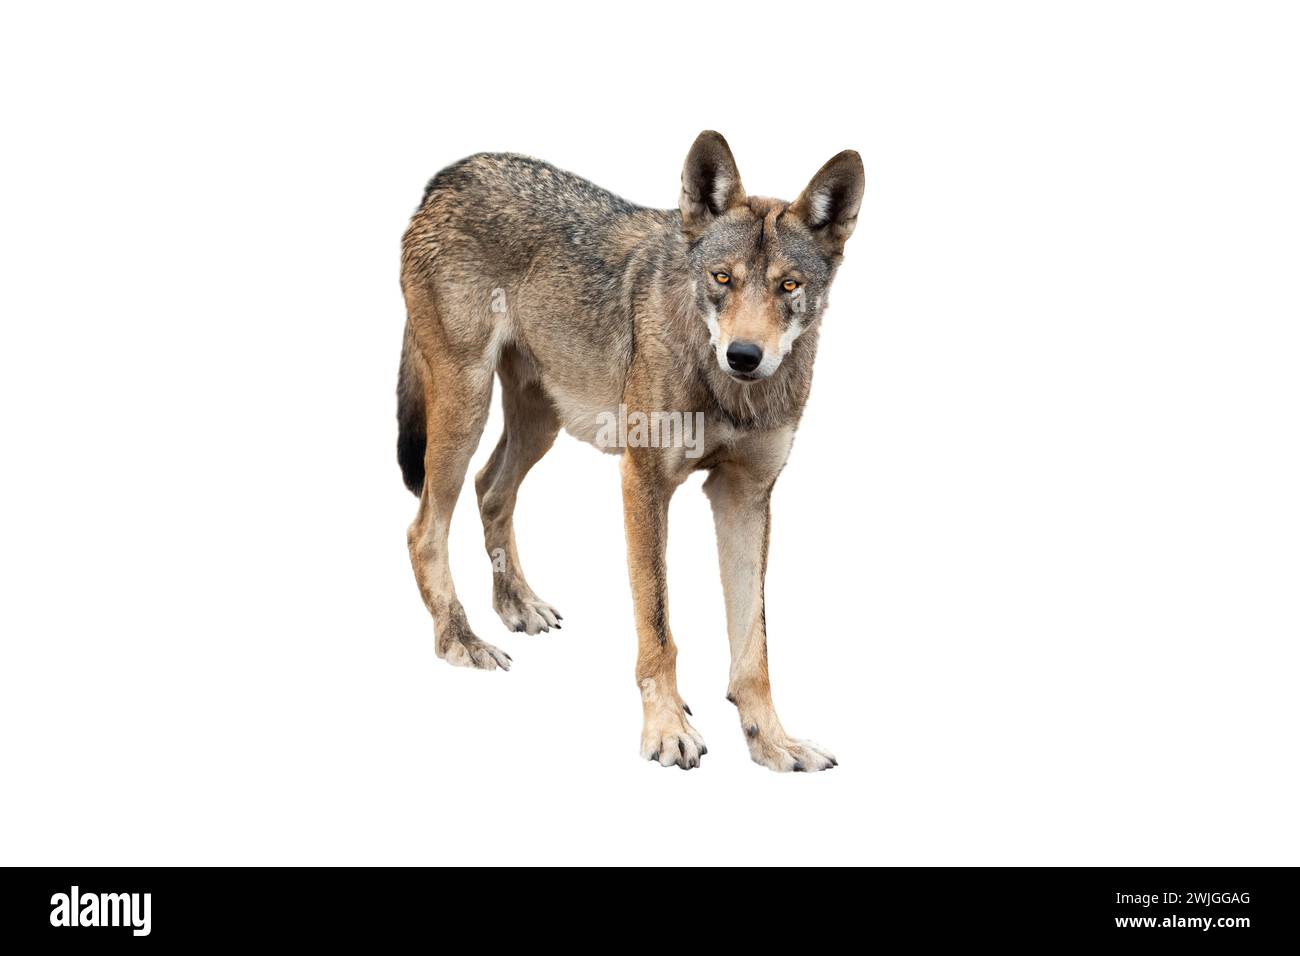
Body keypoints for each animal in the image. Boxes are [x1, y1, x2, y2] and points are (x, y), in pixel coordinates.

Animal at [396, 131, 864, 771]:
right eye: (722, 278)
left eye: (788, 286)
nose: (743, 356)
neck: (729, 393)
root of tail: (447, 176)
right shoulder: (643, 481)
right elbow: (658, 626)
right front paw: (667, 730)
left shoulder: (744, 496)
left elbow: (754, 647)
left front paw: (773, 742)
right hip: (466, 409)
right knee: (424, 529)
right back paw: (460, 641)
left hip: (541, 422)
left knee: (490, 489)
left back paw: (517, 605)